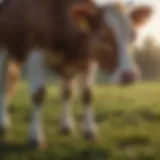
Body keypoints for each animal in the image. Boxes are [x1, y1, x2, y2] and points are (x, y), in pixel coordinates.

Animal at [0, 0, 152, 148]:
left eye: (133, 36)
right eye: (103, 36)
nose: (129, 75)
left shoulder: (87, 62)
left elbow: (86, 95)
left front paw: (89, 131)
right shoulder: (36, 55)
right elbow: (38, 95)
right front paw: (35, 136)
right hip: (4, 53)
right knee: (4, 87)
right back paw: (3, 124)